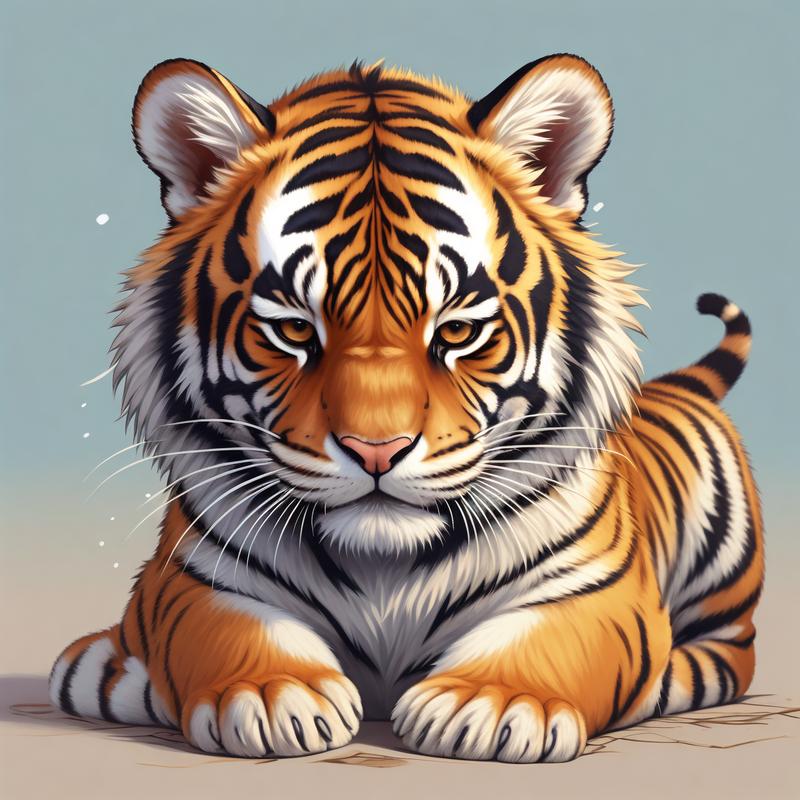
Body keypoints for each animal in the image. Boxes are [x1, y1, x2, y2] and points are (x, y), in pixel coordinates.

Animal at [50, 54, 764, 763]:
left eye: (456, 331)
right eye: (295, 329)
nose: (376, 451)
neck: (384, 570)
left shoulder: (599, 586)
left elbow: (549, 636)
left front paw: (491, 703)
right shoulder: (191, 579)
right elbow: (231, 629)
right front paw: (274, 693)